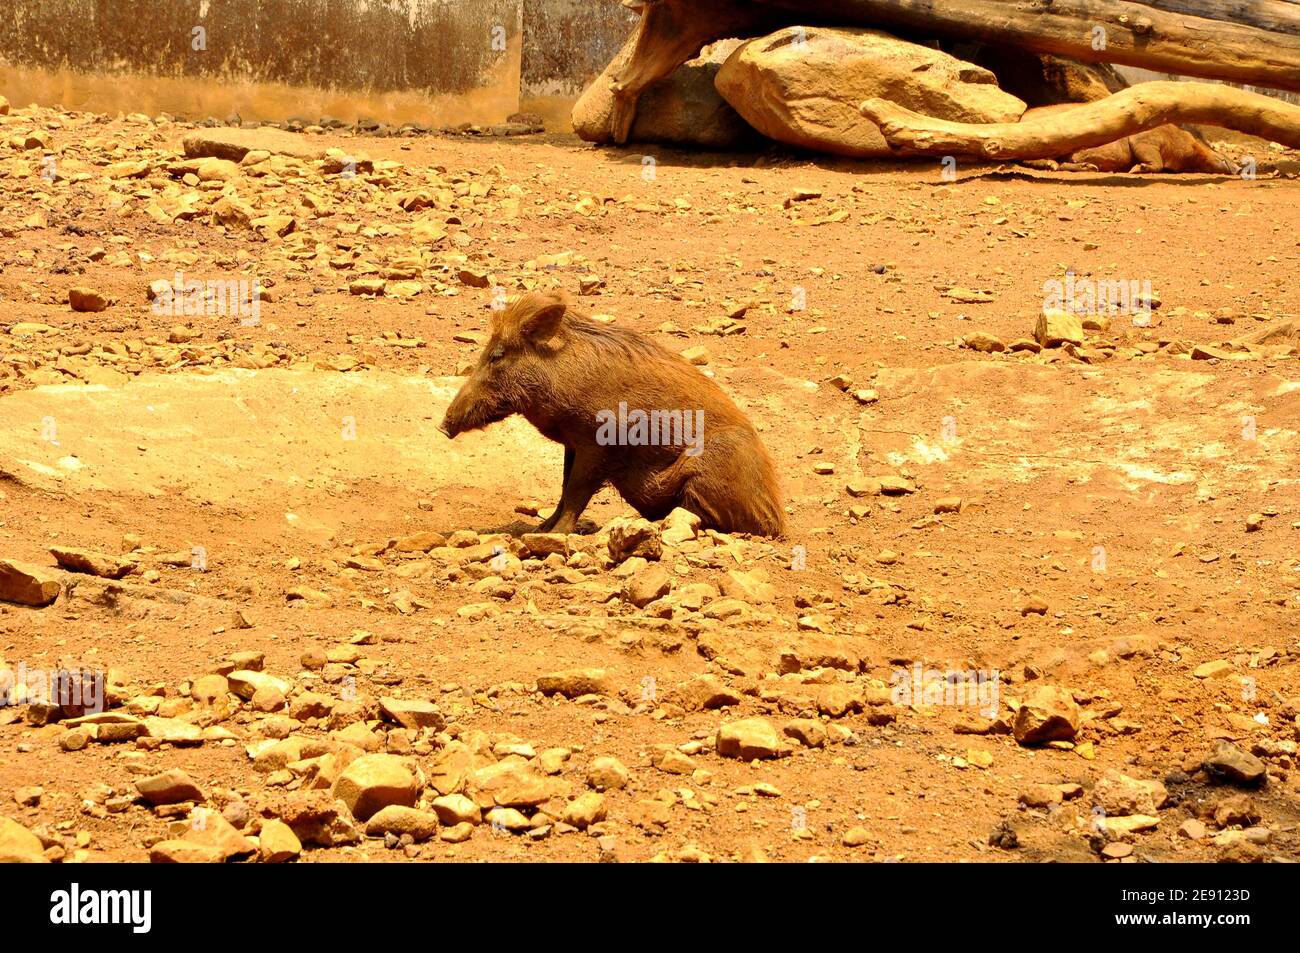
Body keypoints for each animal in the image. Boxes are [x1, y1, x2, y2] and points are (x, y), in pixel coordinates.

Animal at [440, 290, 785, 537]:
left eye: (497, 355)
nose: (443, 425)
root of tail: (777, 523)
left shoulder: (599, 444)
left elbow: (576, 489)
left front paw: (555, 534)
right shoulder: (573, 444)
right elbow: (564, 488)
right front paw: (542, 528)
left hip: (714, 465)